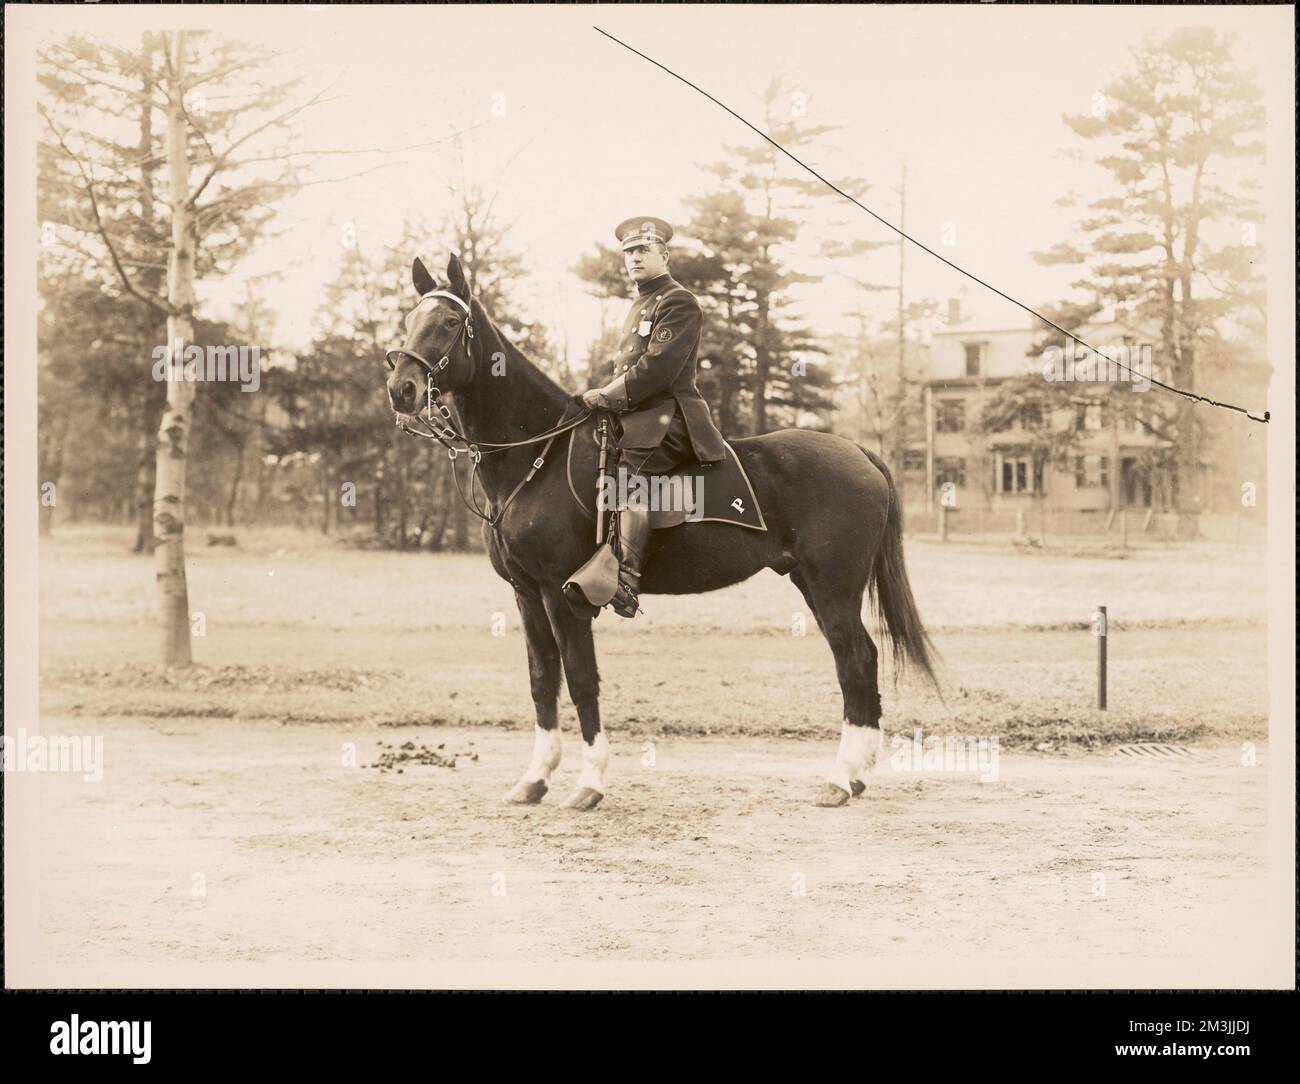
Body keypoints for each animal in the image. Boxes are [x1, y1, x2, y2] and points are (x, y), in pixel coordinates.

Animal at [385, 253, 937, 810]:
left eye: (448, 323)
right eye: (410, 319)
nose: (401, 389)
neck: (537, 456)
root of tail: (858, 452)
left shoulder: (562, 594)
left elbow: (581, 681)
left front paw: (589, 783)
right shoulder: (526, 593)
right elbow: (543, 681)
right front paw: (535, 778)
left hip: (832, 590)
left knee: (855, 660)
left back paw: (841, 778)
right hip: (814, 585)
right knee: (861, 661)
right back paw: (857, 774)